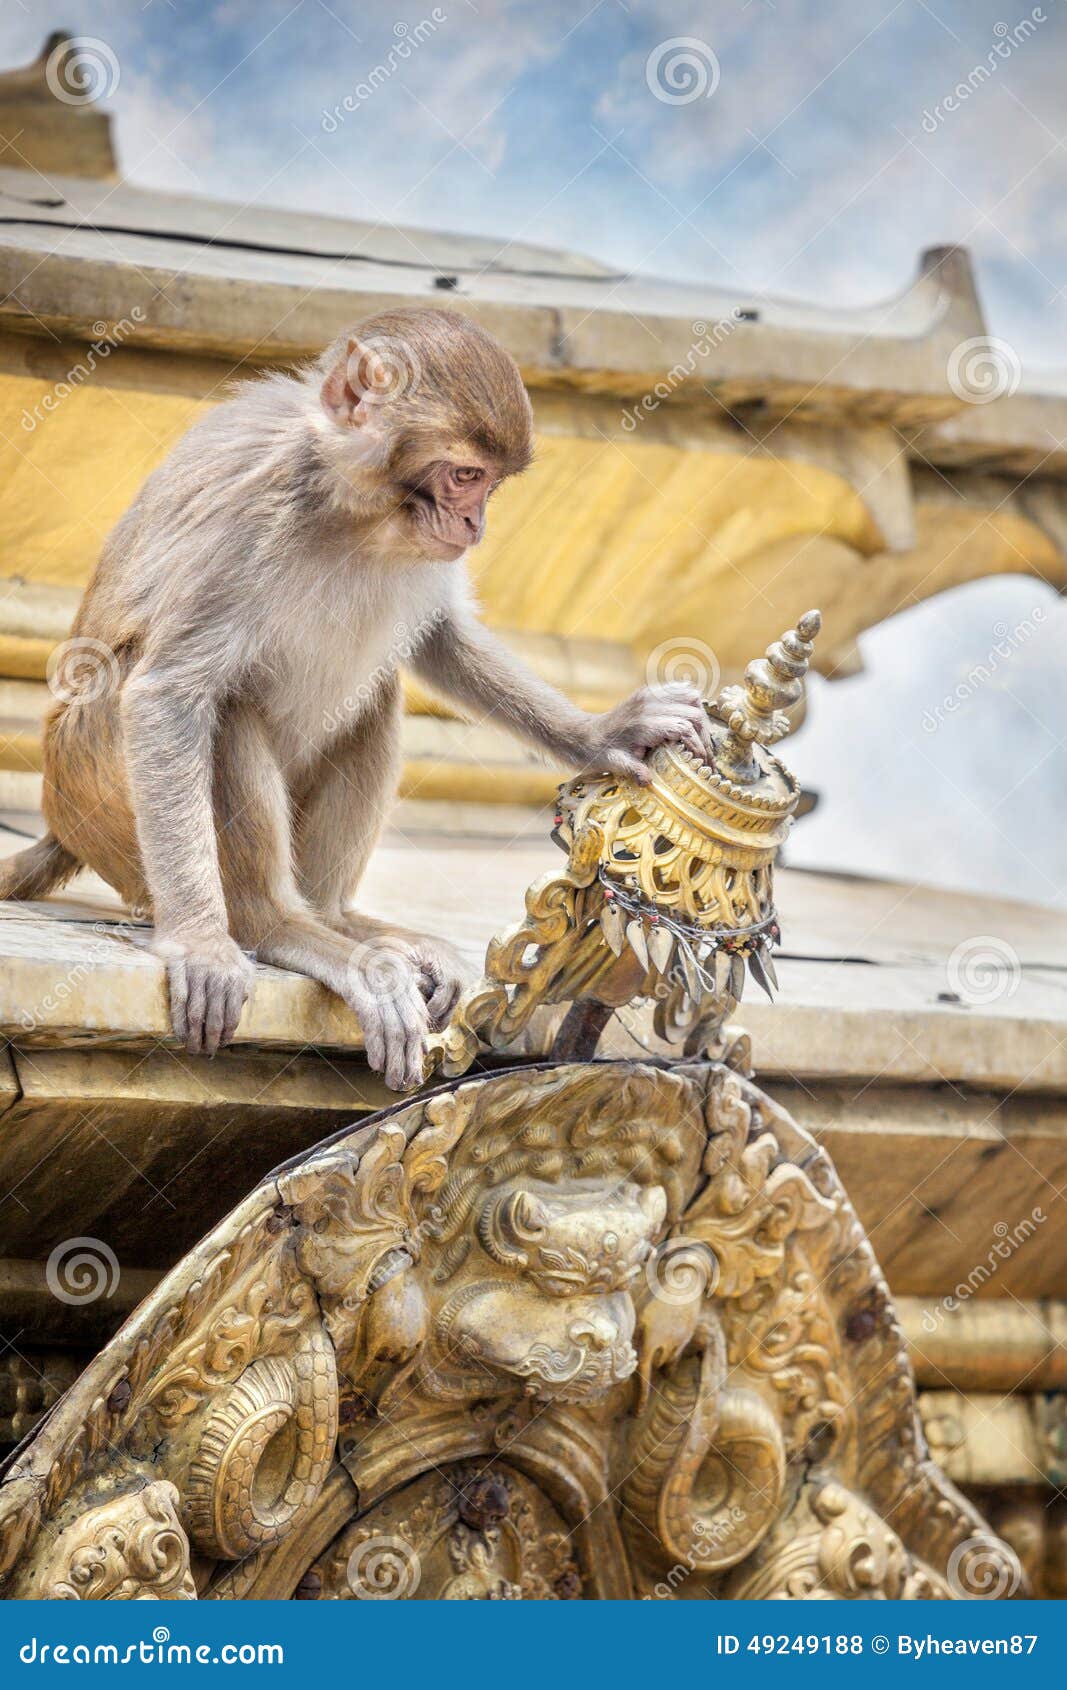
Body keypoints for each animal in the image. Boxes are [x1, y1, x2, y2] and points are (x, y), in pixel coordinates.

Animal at [0, 308, 707, 1090]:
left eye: (490, 485)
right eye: (466, 475)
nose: (475, 526)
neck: (354, 512)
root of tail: (63, 817)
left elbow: (439, 638)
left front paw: (604, 733)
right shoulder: (248, 510)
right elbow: (166, 695)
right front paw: (201, 940)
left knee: (376, 693)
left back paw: (341, 922)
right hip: (101, 793)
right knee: (224, 707)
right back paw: (275, 925)